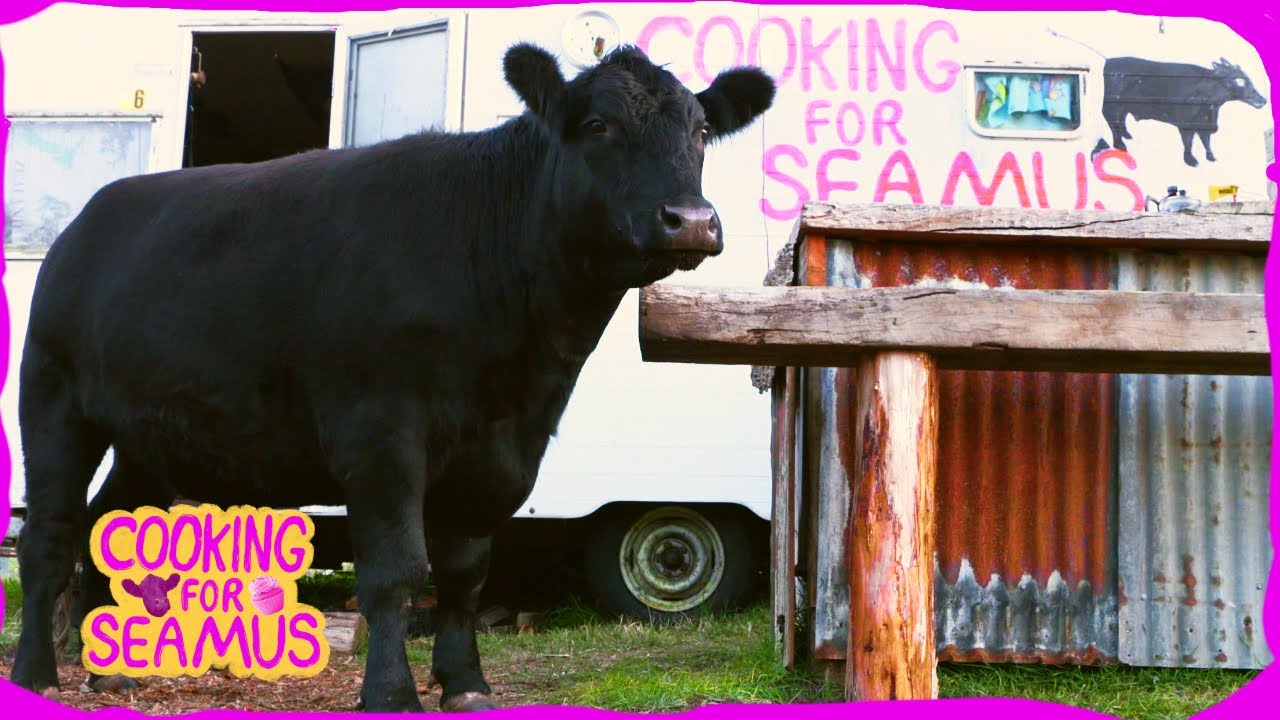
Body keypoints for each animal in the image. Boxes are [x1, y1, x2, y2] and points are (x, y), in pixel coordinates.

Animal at [10, 42, 775, 713]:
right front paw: (391, 693)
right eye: (598, 125)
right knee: (49, 534)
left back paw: (109, 669)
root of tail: (86, 222)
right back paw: (36, 674)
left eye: (701, 130)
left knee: (106, 523)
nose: (690, 221)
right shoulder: (379, 433)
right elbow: (396, 571)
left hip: (148, 433)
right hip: (53, 400)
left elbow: (465, 572)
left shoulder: (504, 448)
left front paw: (466, 684)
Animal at [1094, 56, 1267, 167]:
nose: (1263, 100)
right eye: (1238, 81)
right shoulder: (1186, 122)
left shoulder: (1205, 123)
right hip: (1111, 105)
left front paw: (1211, 157)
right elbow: (1189, 142)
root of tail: (1109, 61)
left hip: (1123, 106)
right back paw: (1120, 145)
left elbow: (1206, 140)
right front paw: (1191, 160)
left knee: (1121, 119)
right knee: (1113, 122)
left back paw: (1127, 135)